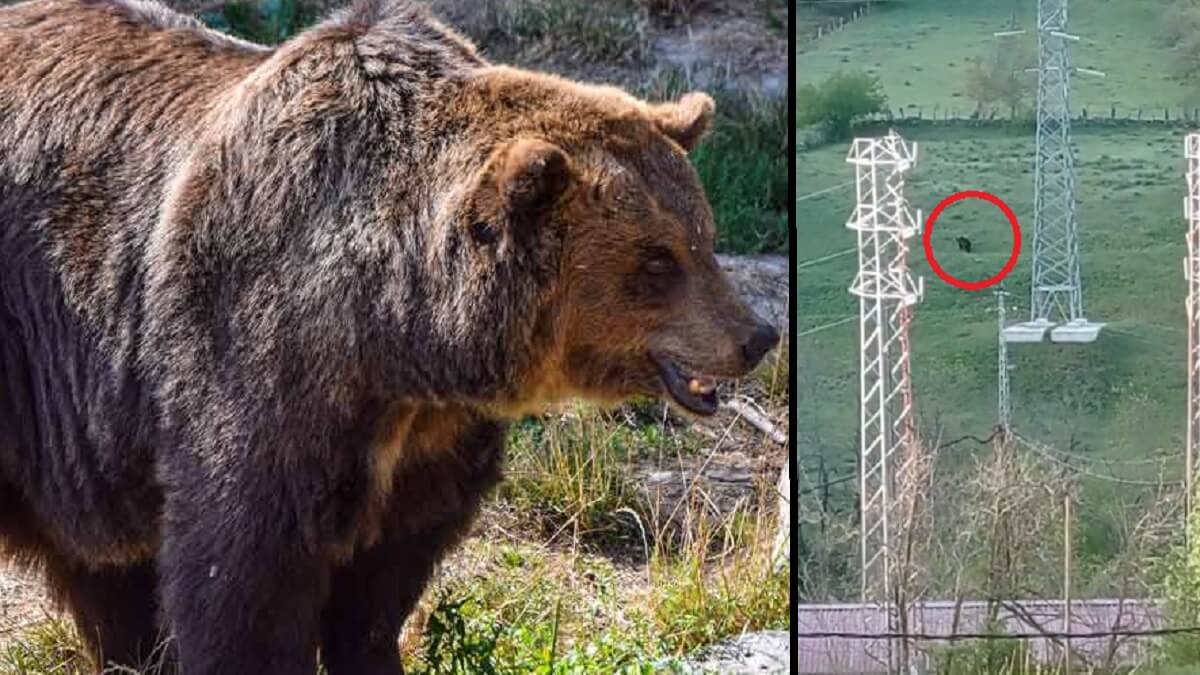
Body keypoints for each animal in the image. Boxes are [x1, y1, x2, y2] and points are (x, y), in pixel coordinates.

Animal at [0, 0, 781, 673]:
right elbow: (240, 577)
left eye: (704, 236)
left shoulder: (430, 442)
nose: (757, 336)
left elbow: (381, 587)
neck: (395, 335)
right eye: (658, 260)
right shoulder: (245, 359)